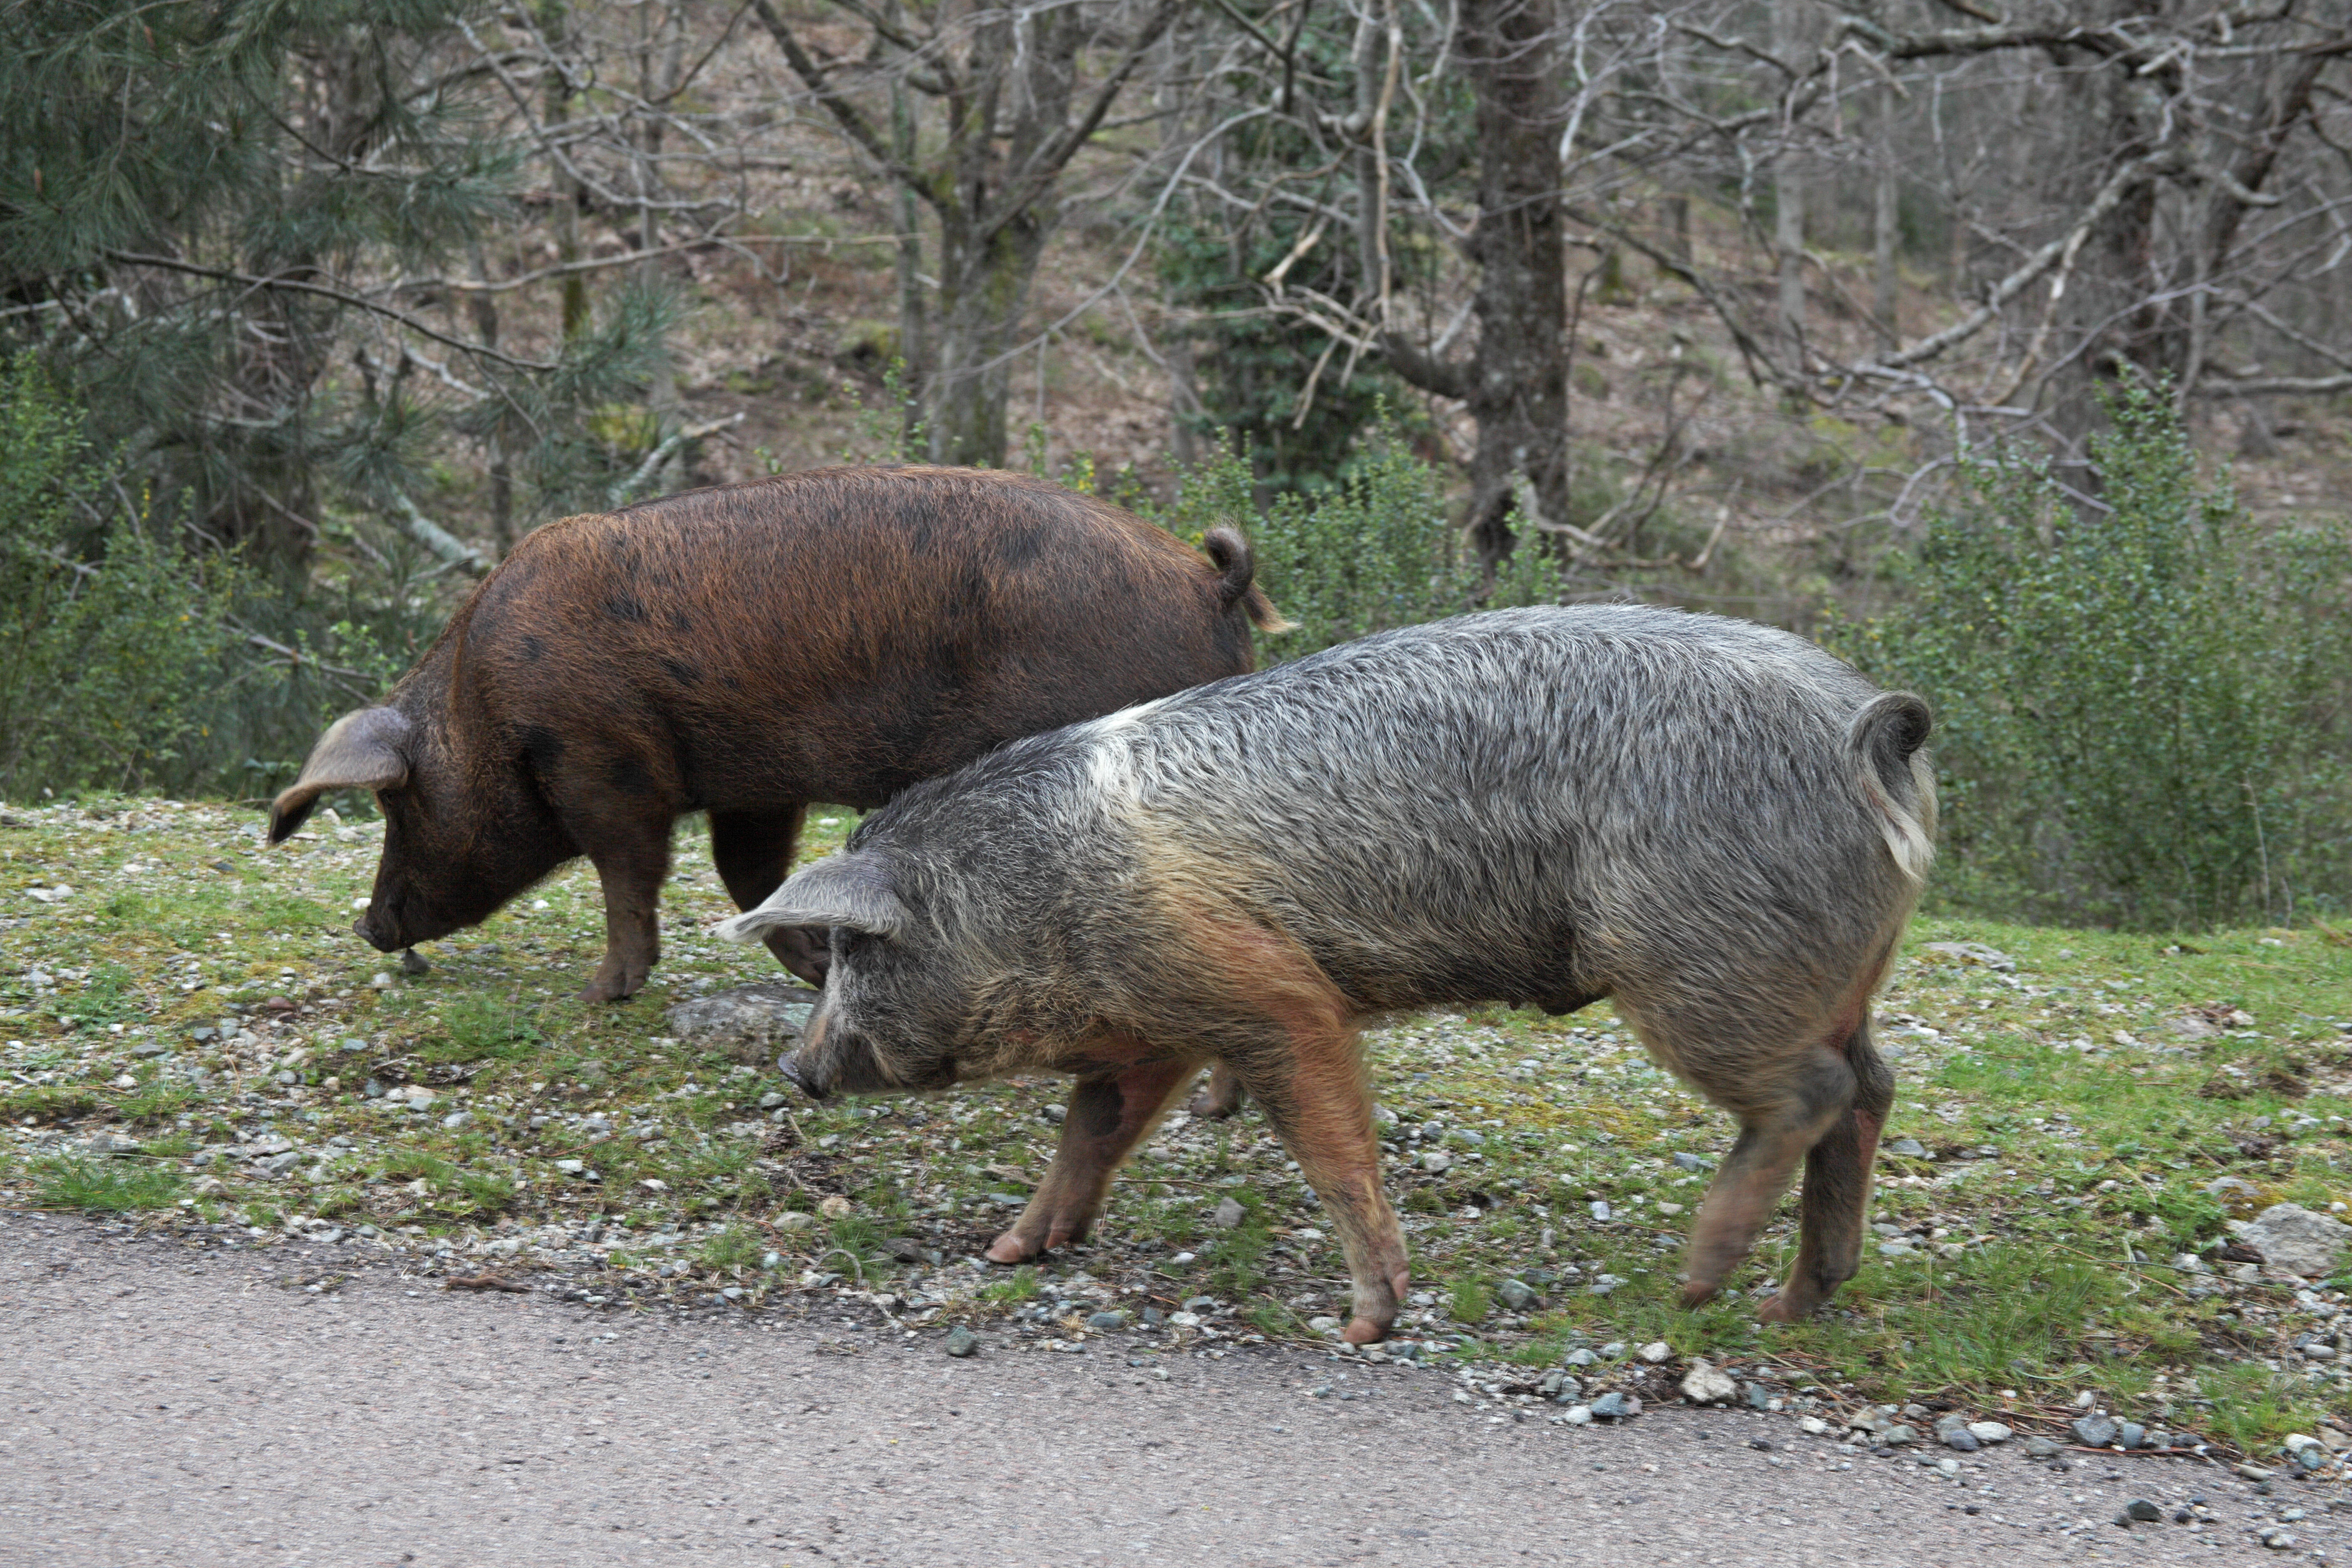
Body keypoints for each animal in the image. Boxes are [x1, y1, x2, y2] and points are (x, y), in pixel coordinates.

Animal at [266, 465, 1284, 1002]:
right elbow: (750, 872)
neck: (482, 697)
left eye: (400, 806)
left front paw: (603, 993)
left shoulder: (605, 760)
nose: (369, 924)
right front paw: (815, 967)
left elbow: (631, 874)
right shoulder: (756, 782)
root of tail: (1209, 580)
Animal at [713, 604, 1935, 1343]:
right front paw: (1015, 1248)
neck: (1043, 902)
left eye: (857, 949)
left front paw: (1363, 1323)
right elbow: (1090, 1129)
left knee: (1815, 1094)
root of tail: (1876, 731)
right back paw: (1793, 1305)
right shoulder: (1156, 1023)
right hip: (1836, 975)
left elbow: (1330, 1138)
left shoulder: (1263, 992)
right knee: (1870, 1088)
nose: (796, 1069)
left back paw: (1696, 1285)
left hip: (1696, 964)